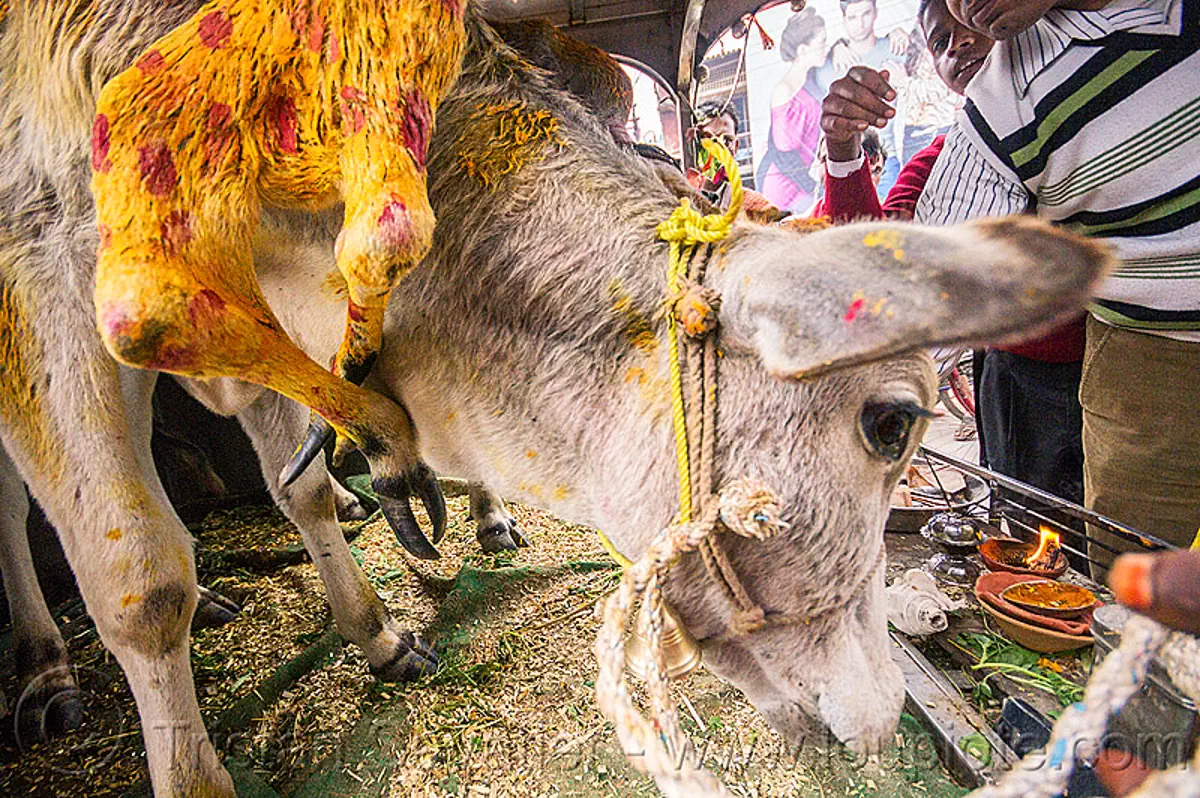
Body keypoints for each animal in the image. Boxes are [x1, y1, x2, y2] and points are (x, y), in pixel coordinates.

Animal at [0, 3, 1110, 796]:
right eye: (891, 423)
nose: (880, 718)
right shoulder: (42, 257)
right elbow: (142, 581)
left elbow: (303, 484)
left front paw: (378, 610)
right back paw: (47, 665)